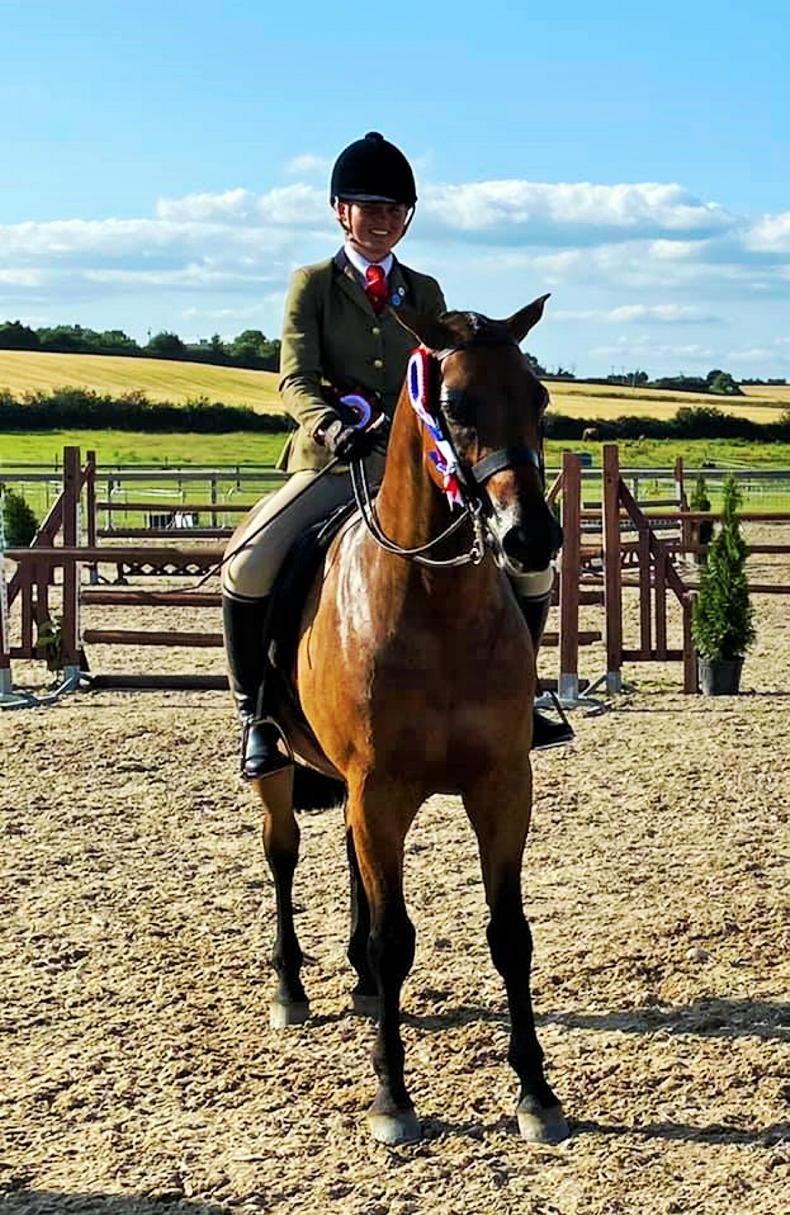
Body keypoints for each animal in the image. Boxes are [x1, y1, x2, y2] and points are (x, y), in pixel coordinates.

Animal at [253, 296, 569, 1146]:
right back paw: (292, 988)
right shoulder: (380, 790)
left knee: (347, 863)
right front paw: (392, 1096)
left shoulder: (502, 785)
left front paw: (536, 1092)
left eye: (540, 400)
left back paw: (359, 981)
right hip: (286, 772)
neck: (436, 607)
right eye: (454, 405)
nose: (531, 537)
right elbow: (396, 938)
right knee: (283, 855)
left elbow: (510, 933)